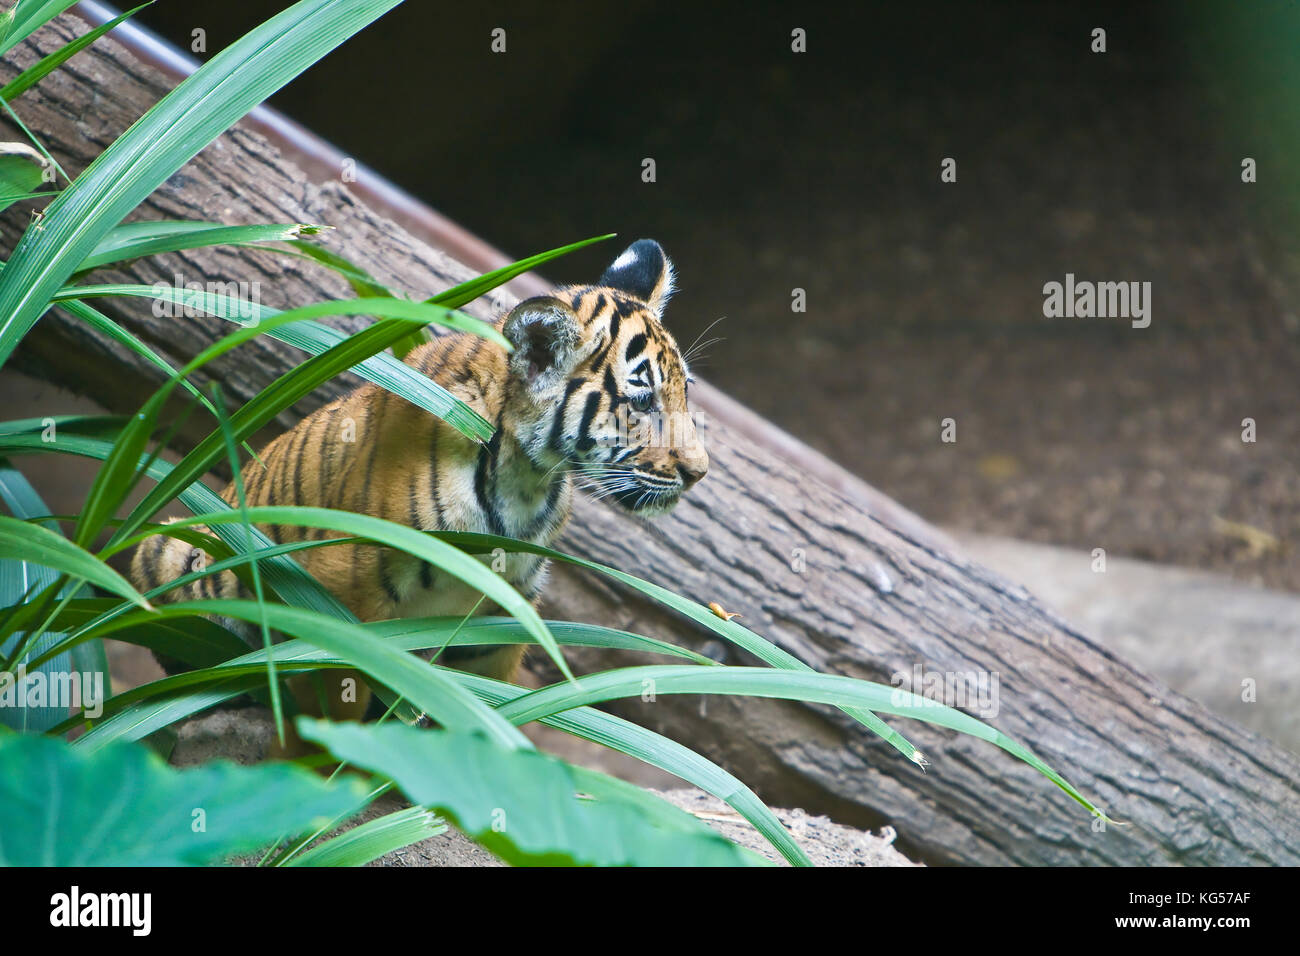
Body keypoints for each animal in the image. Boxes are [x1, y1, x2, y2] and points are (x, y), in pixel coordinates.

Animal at [130, 239, 708, 727]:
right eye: (641, 401)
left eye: (684, 391)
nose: (699, 472)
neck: (526, 478)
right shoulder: (345, 591)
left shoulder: (503, 612)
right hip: (166, 547)